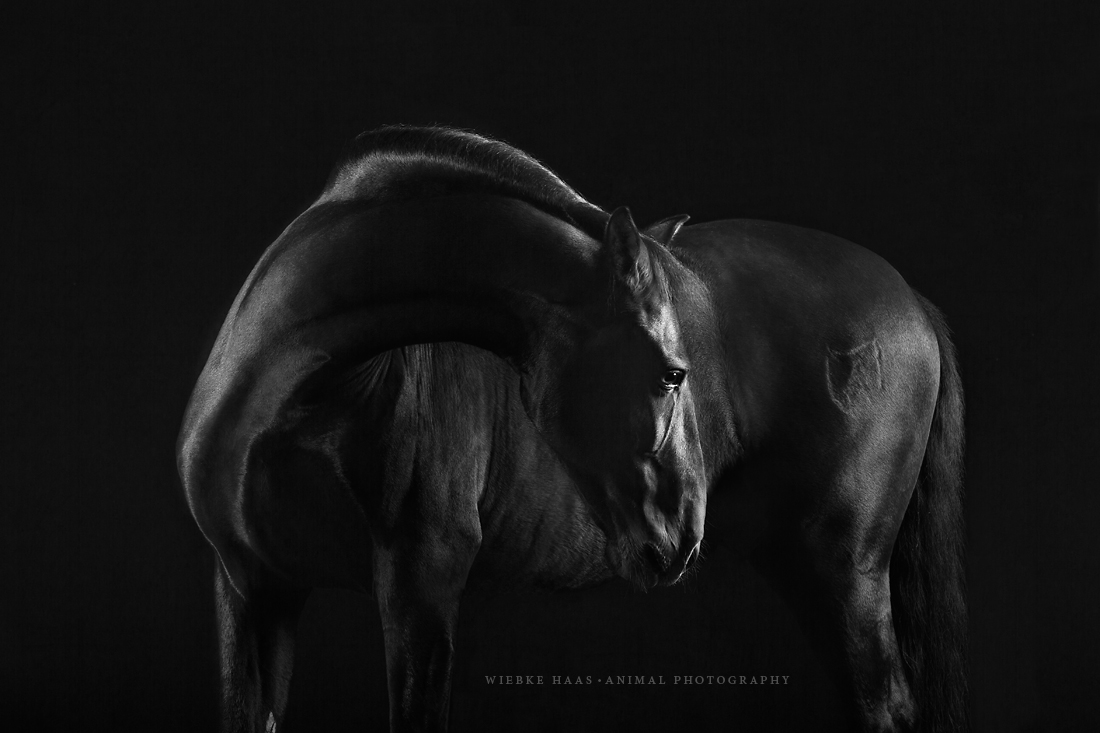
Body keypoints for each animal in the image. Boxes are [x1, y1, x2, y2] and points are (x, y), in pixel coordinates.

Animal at [177, 126, 967, 733]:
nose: (685, 537)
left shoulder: (420, 579)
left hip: (843, 569)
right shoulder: (252, 590)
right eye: (672, 373)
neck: (305, 397)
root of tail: (912, 299)